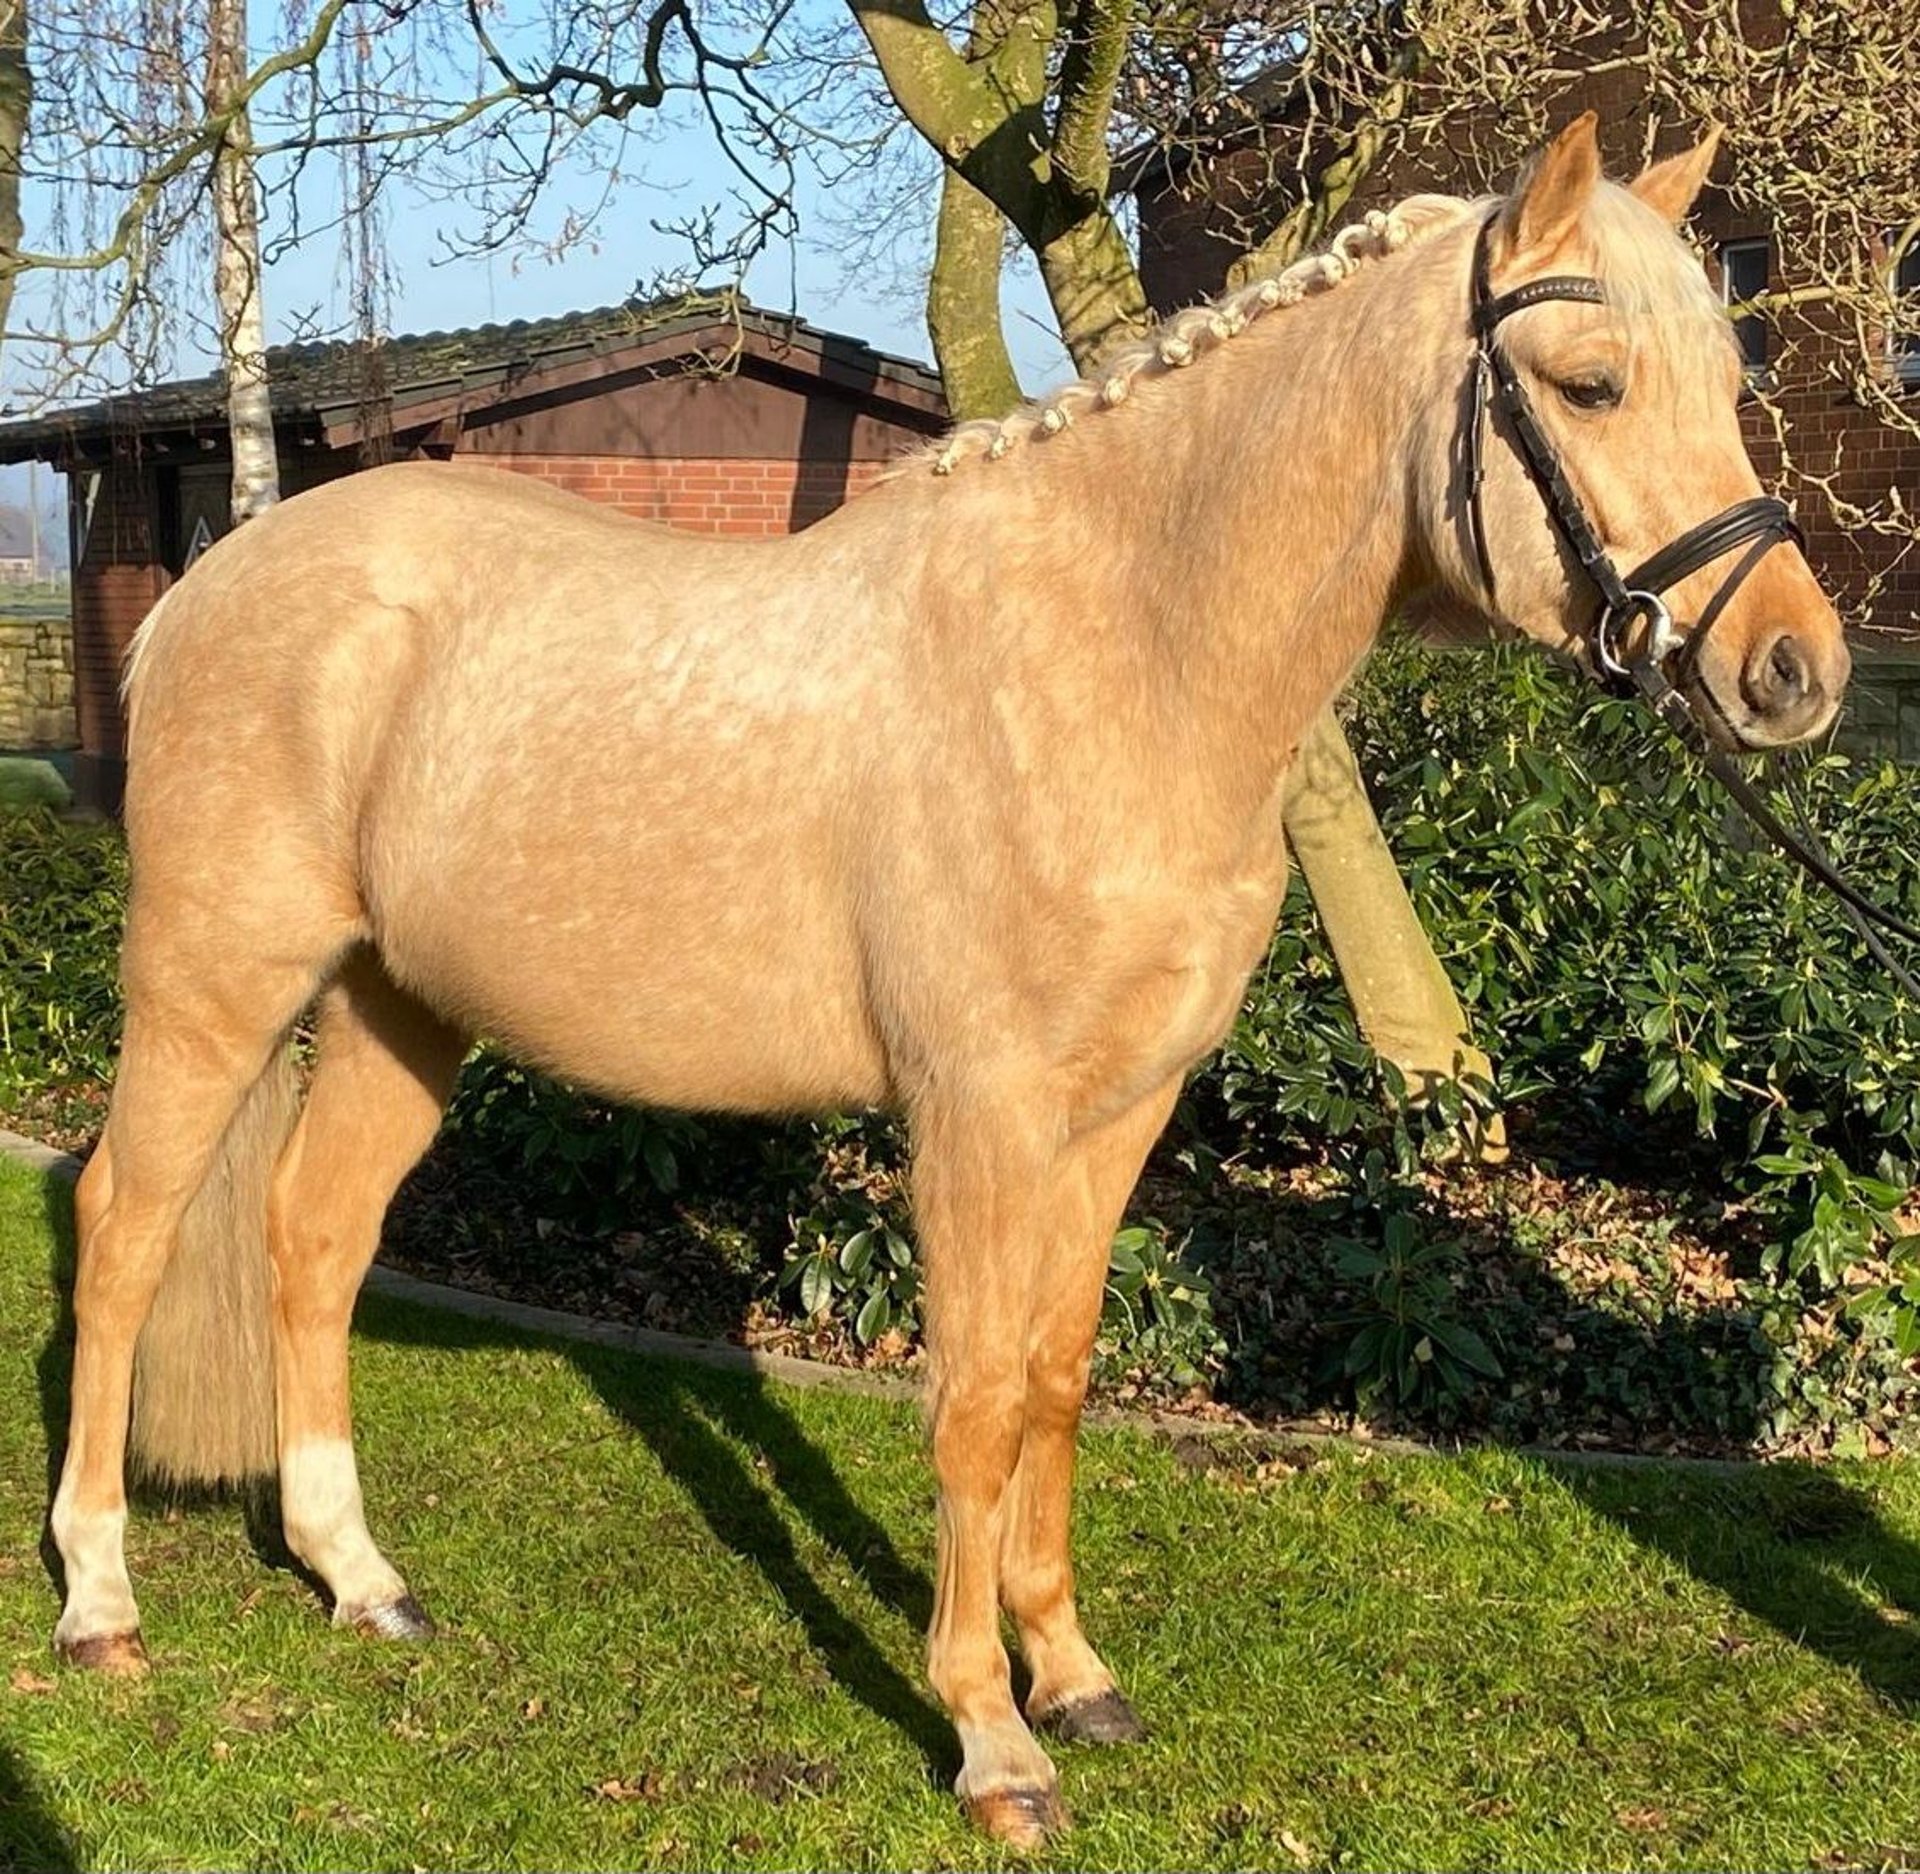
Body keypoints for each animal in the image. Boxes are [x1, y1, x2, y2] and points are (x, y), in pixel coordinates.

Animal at [50, 114, 1849, 1845]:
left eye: (1730, 377)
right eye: (1590, 381)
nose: (1793, 669)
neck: (1119, 652)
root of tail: (209, 582)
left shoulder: (1122, 1110)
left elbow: (1055, 1372)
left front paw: (1075, 1673)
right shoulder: (976, 1112)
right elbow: (973, 1400)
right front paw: (992, 1735)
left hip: (397, 1005)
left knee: (312, 1234)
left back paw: (360, 1577)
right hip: (215, 982)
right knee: (127, 1229)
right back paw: (101, 1600)